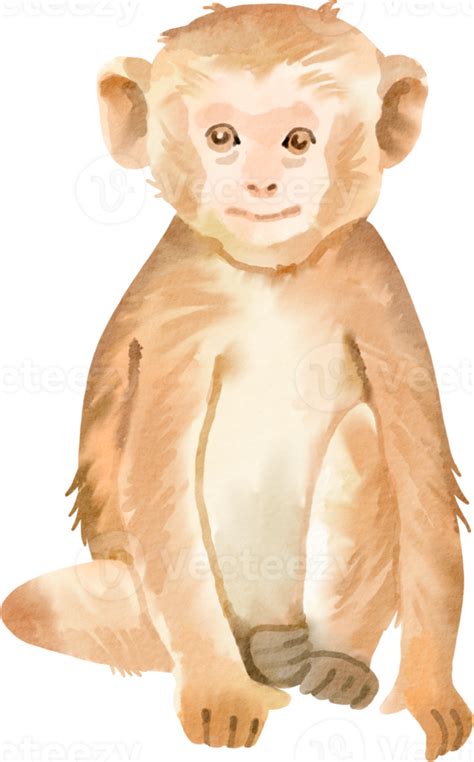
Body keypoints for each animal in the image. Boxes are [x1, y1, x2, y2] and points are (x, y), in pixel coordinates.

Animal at [2, 1, 472, 757]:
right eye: (223, 137)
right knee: (38, 608)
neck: (270, 273)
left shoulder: (379, 288)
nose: (260, 183)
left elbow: (417, 465)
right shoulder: (180, 308)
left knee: (365, 438)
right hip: (148, 612)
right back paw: (249, 663)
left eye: (297, 139)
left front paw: (431, 690)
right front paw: (220, 693)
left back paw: (329, 660)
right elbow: (155, 481)